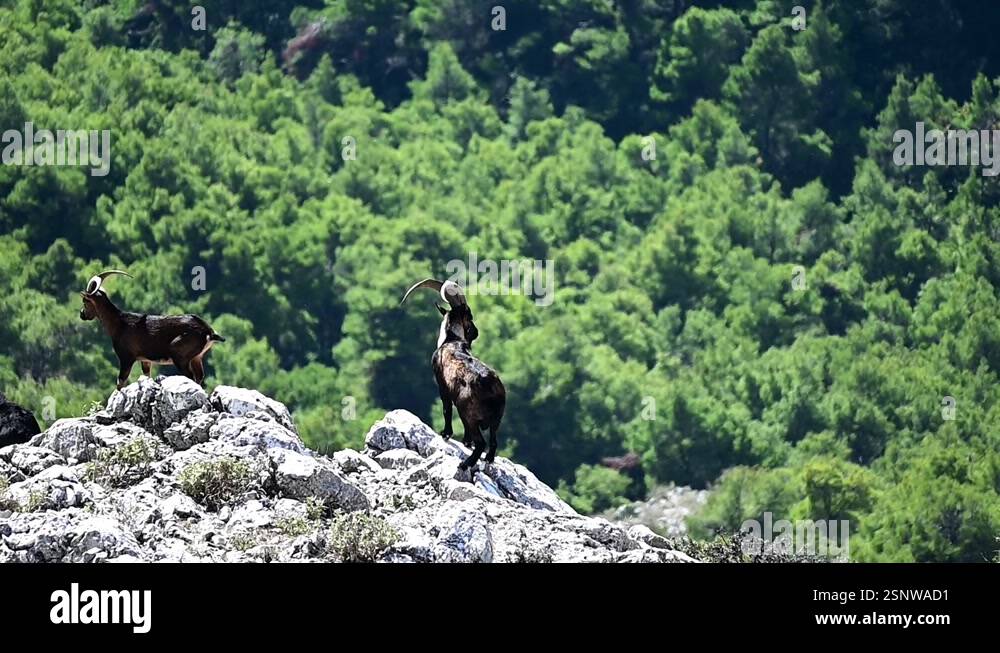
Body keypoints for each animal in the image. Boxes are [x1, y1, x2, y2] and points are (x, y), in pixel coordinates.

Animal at [79, 270, 225, 390]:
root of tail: (208, 331)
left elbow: (120, 382)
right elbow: (146, 375)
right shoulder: (145, 360)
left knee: (190, 376)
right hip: (197, 357)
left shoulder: (126, 357)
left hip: (180, 354)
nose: (82, 314)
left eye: (85, 301)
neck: (119, 323)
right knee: (199, 376)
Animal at [401, 278, 505, 471]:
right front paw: (465, 442)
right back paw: (487, 459)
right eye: (470, 317)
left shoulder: (443, 387)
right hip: (497, 417)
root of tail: (493, 389)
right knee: (493, 440)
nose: (476, 332)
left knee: (481, 442)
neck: (451, 340)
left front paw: (446, 434)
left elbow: (446, 409)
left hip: (470, 413)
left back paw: (464, 464)